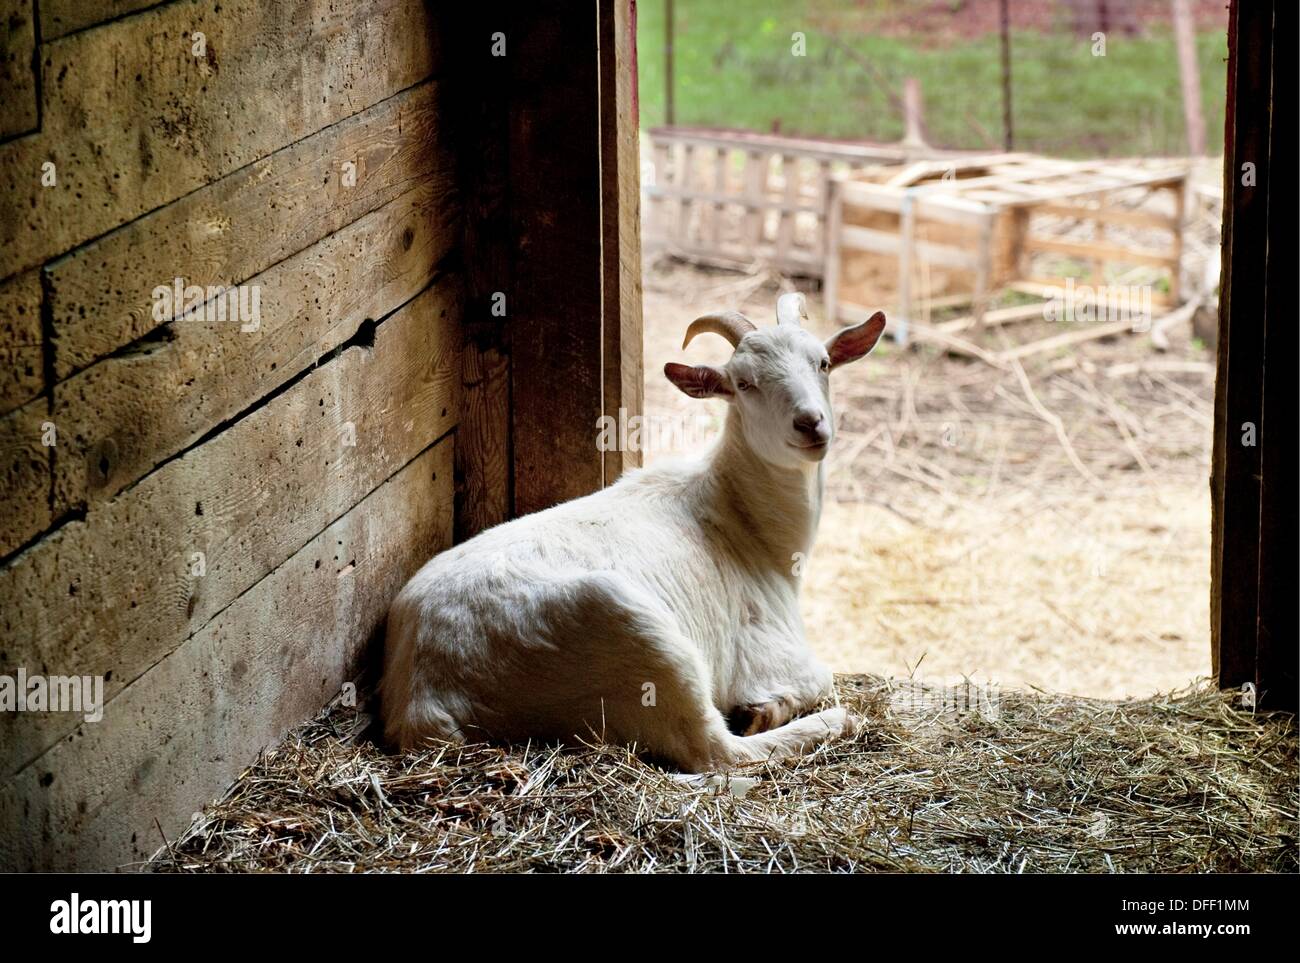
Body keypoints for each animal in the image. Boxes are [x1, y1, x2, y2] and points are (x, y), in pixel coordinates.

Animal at [382, 293, 886, 772]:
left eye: (823, 362)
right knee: (716, 752)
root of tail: (424, 698)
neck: (745, 519)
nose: (810, 423)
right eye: (744, 384)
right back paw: (833, 721)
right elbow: (819, 676)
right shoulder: (768, 647)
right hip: (640, 637)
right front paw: (766, 706)